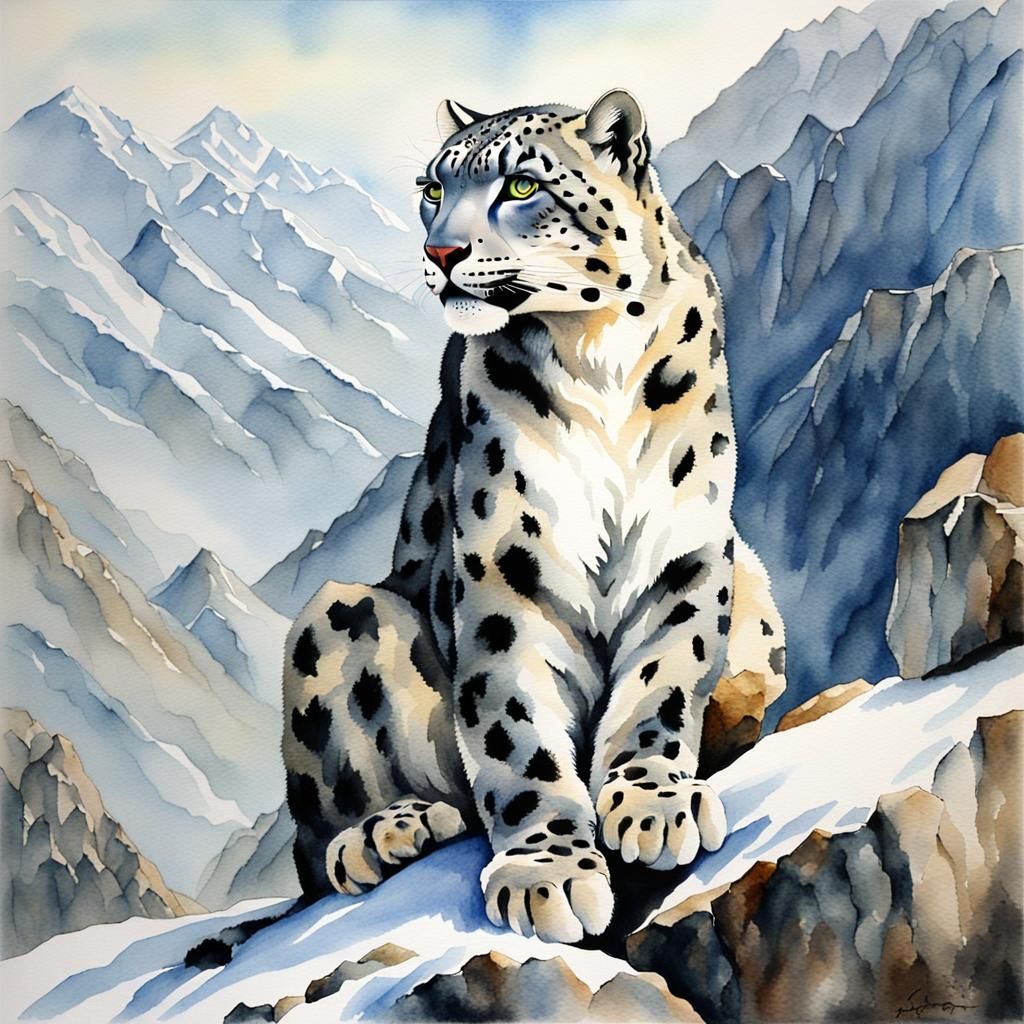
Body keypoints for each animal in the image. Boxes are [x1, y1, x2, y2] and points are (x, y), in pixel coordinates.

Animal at [282, 90, 786, 944]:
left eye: (521, 186)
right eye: (433, 189)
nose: (441, 250)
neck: (596, 350)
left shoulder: (683, 554)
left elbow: (662, 683)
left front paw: (653, 803)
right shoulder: (505, 568)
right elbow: (512, 725)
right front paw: (546, 870)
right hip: (335, 617)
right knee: (318, 836)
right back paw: (387, 831)